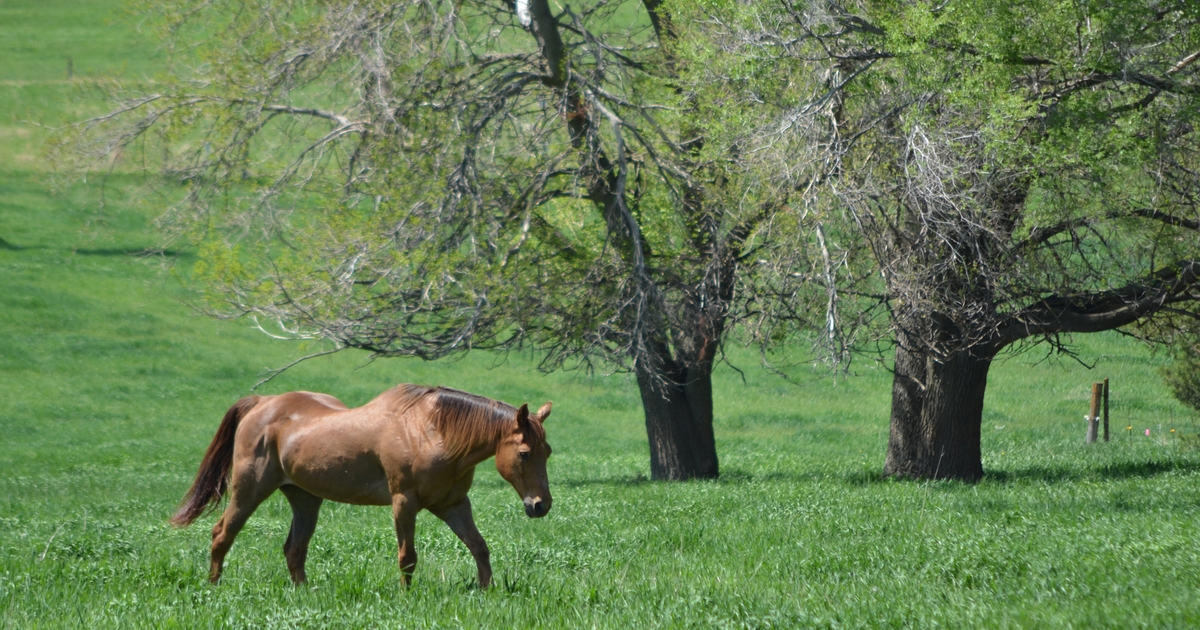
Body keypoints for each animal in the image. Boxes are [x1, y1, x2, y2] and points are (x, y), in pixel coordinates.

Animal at [169, 384, 553, 588]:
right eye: (524, 453)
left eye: (547, 451)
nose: (541, 505)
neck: (433, 433)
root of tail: (262, 403)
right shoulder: (404, 502)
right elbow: (408, 557)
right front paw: (406, 597)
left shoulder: (453, 504)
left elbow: (479, 547)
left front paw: (487, 592)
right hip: (249, 491)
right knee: (222, 535)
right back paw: (214, 587)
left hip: (306, 500)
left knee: (294, 549)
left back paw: (303, 592)